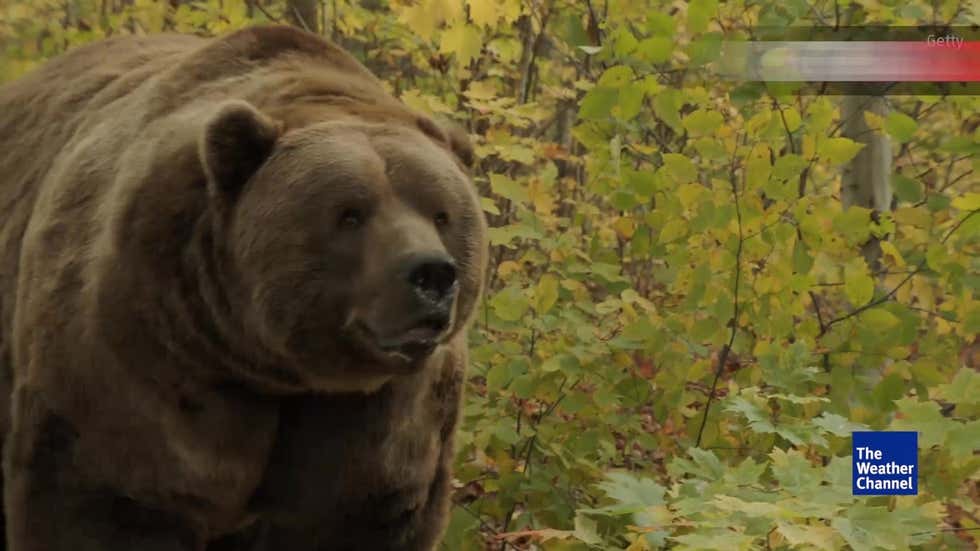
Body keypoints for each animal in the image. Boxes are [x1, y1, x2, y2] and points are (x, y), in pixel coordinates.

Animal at [0, 25, 487, 551]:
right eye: (350, 214)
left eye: (442, 213)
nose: (431, 274)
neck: (268, 366)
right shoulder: (140, 346)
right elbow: (104, 499)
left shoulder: (379, 413)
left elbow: (364, 512)